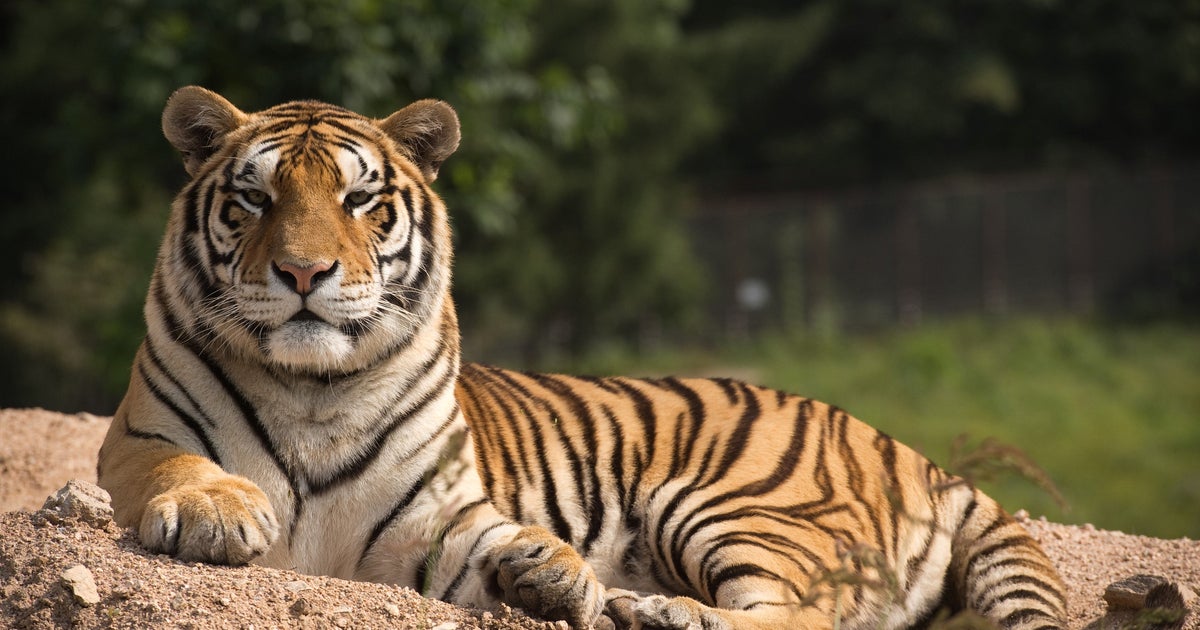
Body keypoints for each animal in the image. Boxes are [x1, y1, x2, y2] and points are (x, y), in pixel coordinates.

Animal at [98, 86, 1066, 630]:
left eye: (360, 199)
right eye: (255, 198)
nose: (304, 272)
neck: (313, 390)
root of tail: (917, 455)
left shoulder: (434, 516)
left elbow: (492, 539)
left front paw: (549, 573)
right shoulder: (139, 440)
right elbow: (180, 467)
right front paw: (220, 513)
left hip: (735, 505)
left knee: (810, 616)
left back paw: (668, 615)